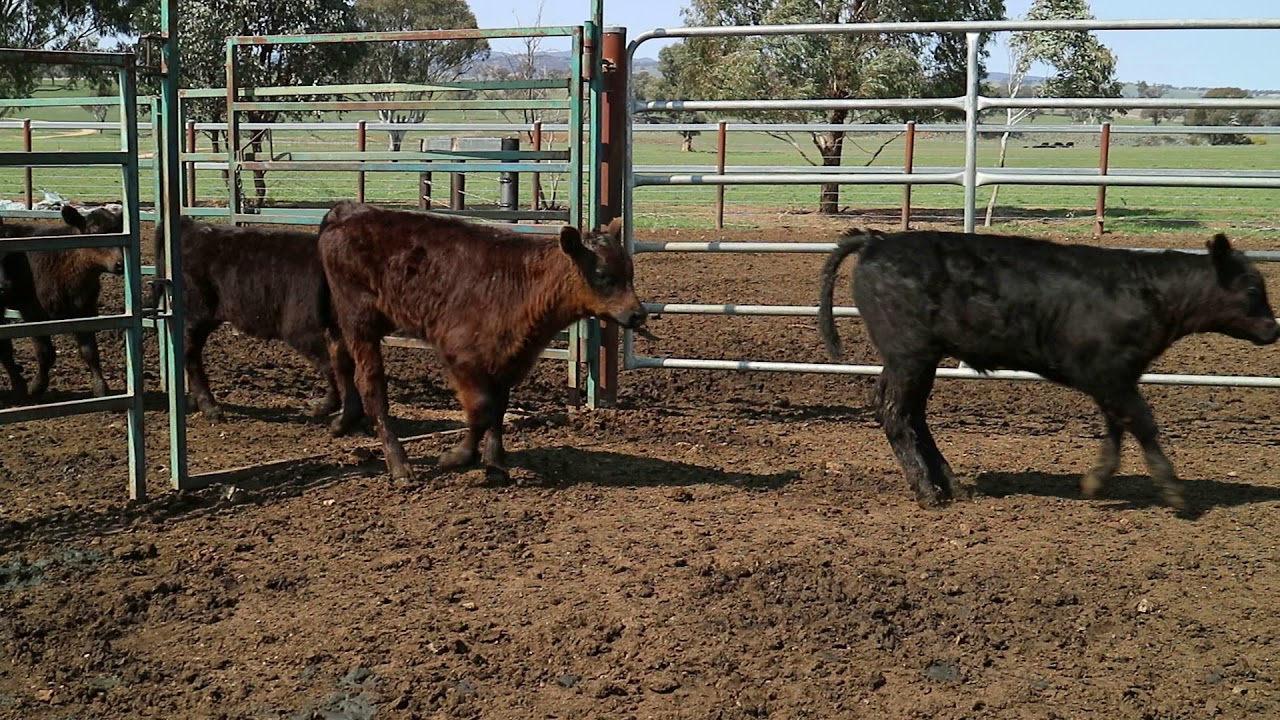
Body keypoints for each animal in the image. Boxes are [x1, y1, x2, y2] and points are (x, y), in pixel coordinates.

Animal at [0, 204, 125, 399]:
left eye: (120, 230)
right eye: (94, 232)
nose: (120, 264)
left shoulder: (85, 310)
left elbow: (90, 351)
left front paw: (101, 388)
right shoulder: (33, 311)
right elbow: (45, 352)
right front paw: (37, 386)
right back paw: (19, 385)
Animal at [149, 217, 363, 429]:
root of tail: (191, 225)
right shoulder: (302, 330)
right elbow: (334, 366)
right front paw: (337, 411)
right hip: (195, 314)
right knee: (190, 354)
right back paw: (210, 407)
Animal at [318, 202, 648, 481]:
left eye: (630, 272)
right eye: (602, 274)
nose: (638, 314)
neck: (524, 284)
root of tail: (346, 211)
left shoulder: (507, 359)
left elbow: (498, 409)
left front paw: (495, 462)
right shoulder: (462, 358)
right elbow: (481, 410)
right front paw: (457, 456)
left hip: (349, 319)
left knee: (338, 356)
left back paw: (343, 421)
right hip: (360, 322)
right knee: (372, 387)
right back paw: (399, 466)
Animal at [818, 228, 1279, 510]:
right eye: (1252, 289)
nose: (1273, 329)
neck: (1147, 291)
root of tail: (877, 241)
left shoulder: (1113, 378)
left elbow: (1116, 425)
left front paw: (1097, 479)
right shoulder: (1110, 374)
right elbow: (1142, 422)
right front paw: (1173, 490)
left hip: (915, 360)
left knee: (910, 414)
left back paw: (953, 486)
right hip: (909, 355)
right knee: (896, 413)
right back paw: (928, 492)